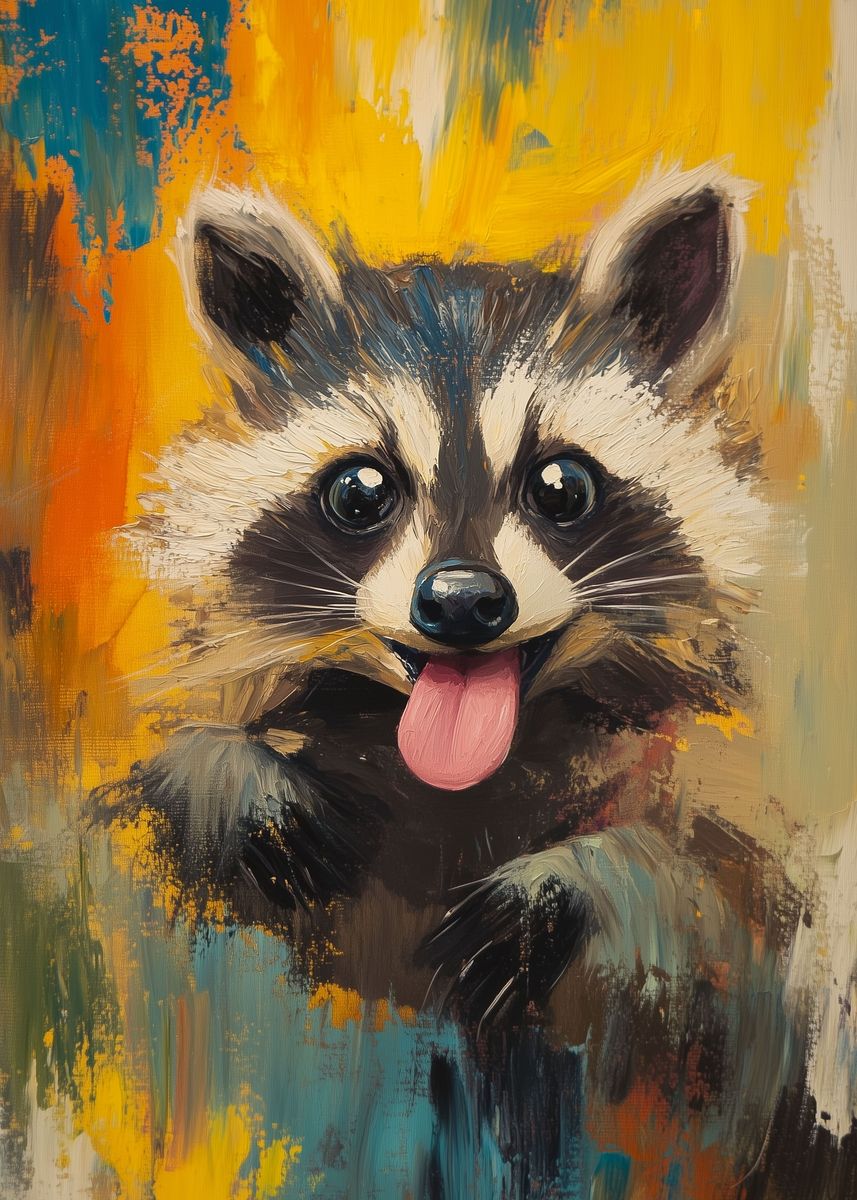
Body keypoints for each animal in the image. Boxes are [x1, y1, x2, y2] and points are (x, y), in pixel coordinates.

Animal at [105, 165, 802, 1166]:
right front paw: (222, 770)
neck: (458, 775)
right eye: (361, 490)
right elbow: (152, 786)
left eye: (563, 485)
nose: (463, 602)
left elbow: (719, 923)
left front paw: (592, 873)